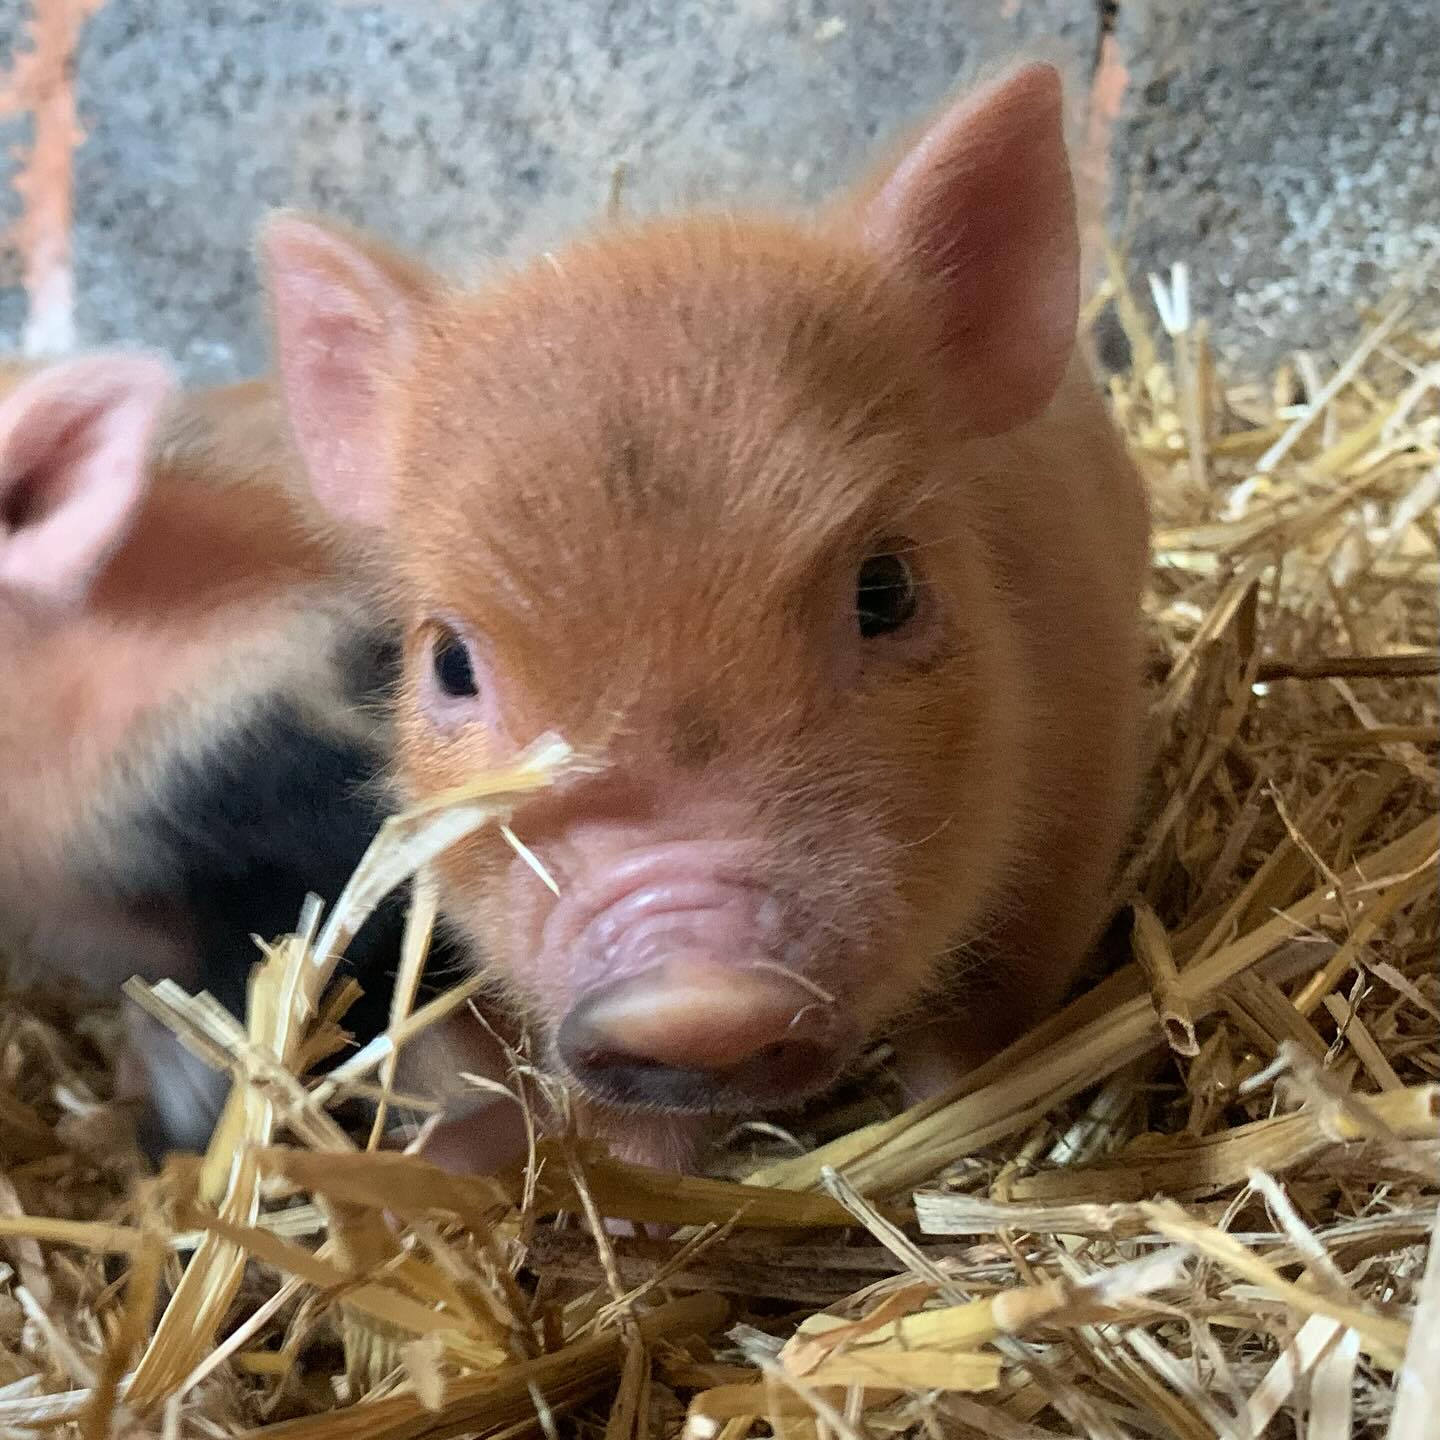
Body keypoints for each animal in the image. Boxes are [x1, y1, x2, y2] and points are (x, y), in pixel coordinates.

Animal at [259, 62, 1151, 1174]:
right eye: (450, 663)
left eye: (886, 590)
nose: (690, 1001)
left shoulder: (1086, 785)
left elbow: (986, 1013)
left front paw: (954, 1121)